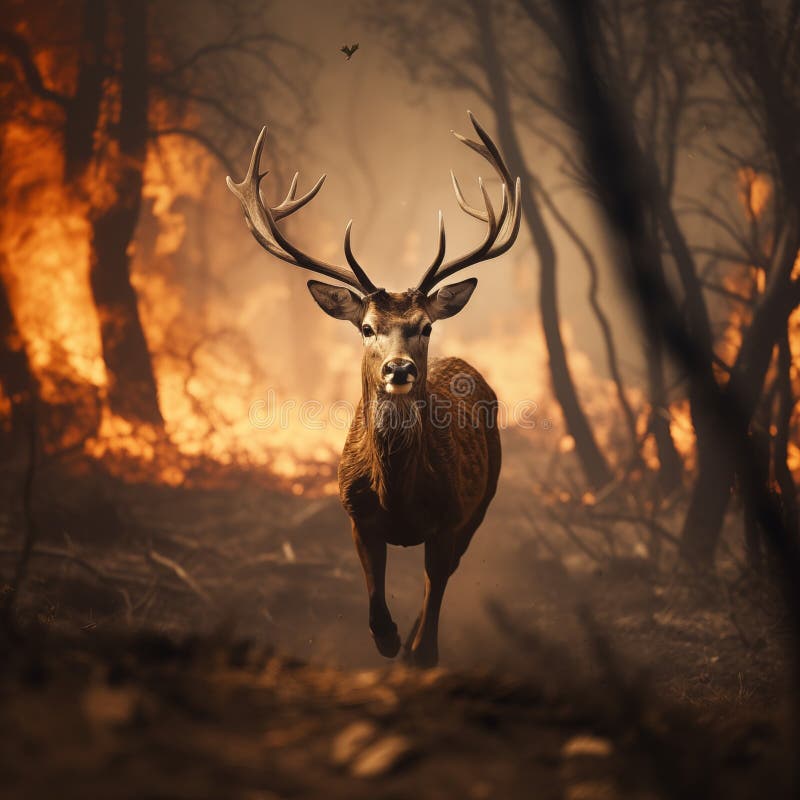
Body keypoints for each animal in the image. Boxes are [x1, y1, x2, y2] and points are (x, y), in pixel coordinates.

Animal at [227, 112, 521, 667]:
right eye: (366, 327)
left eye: (425, 326)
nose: (398, 368)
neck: (398, 492)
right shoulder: (356, 514)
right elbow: (375, 602)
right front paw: (388, 637)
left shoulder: (452, 515)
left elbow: (433, 599)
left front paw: (420, 647)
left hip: (487, 495)